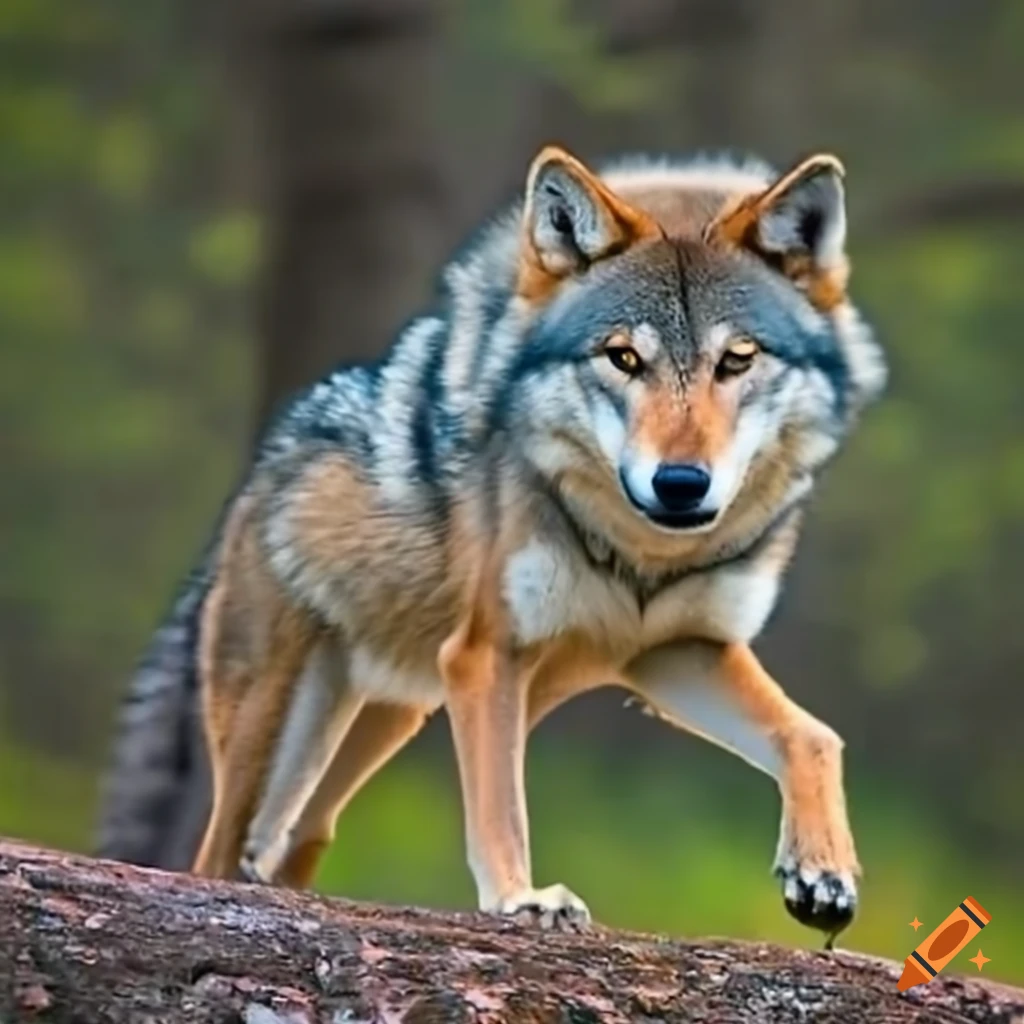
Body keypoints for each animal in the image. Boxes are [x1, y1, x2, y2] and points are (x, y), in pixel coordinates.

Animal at [97, 144, 886, 939]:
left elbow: (814, 734)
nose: (681, 483)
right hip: (273, 725)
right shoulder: (488, 656)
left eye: (738, 360)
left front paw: (823, 872)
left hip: (388, 721)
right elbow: (502, 809)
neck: (640, 558)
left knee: (294, 841)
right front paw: (523, 900)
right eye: (623, 358)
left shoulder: (679, 651)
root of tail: (264, 464)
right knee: (218, 855)